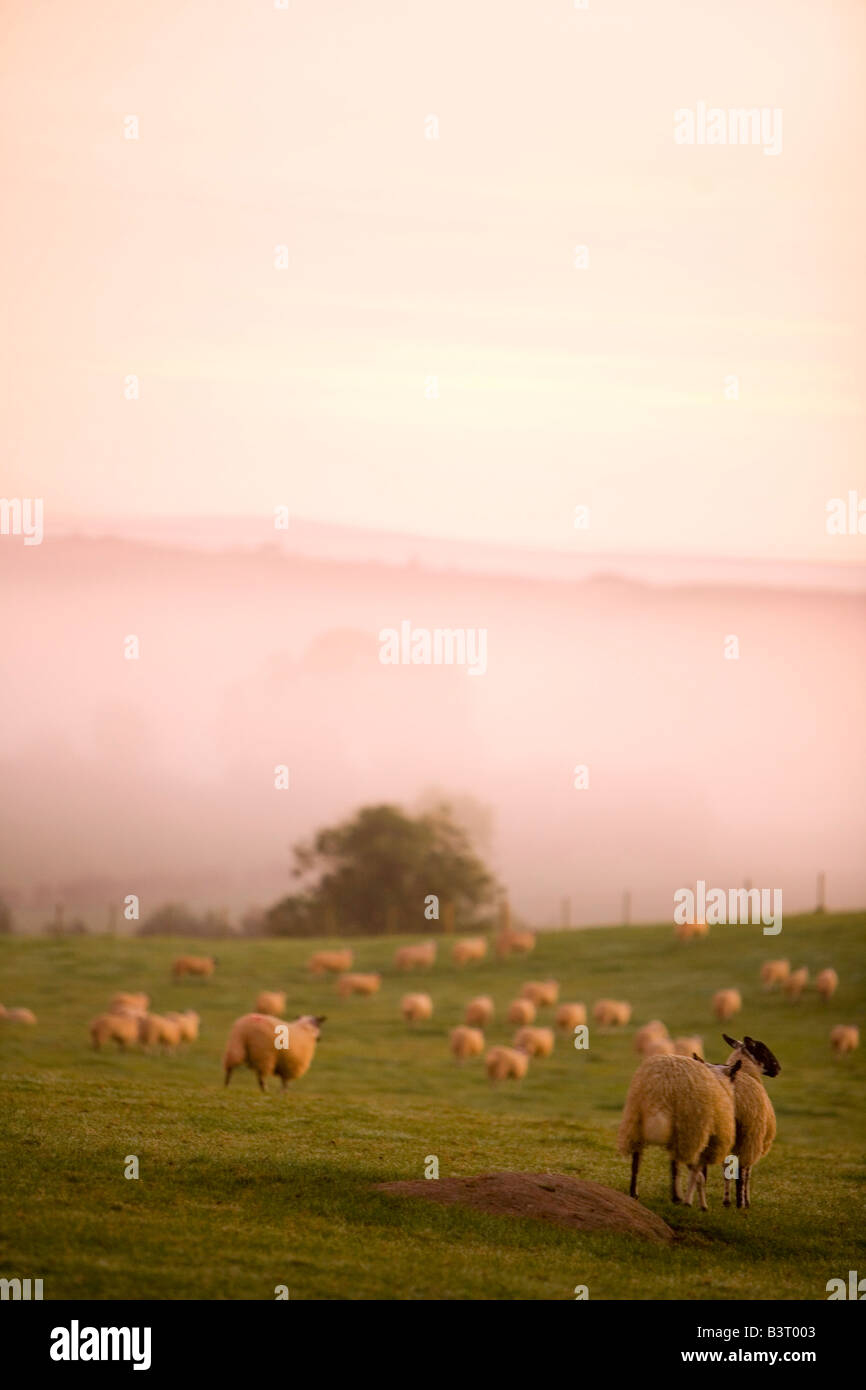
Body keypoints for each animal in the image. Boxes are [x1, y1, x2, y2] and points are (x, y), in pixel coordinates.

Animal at [617, 1053, 739, 1210]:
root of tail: (663, 1084)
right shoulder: (708, 1142)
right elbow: (701, 1172)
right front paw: (699, 1202)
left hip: (636, 1121)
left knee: (637, 1161)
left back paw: (635, 1193)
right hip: (689, 1129)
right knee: (683, 1166)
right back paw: (682, 1199)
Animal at [717, 1033, 781, 1209]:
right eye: (763, 1050)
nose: (778, 1068)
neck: (747, 1070)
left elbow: (726, 1169)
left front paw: (727, 1200)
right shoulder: (755, 1140)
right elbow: (747, 1173)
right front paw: (746, 1201)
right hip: (749, 1136)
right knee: (742, 1172)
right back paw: (741, 1204)